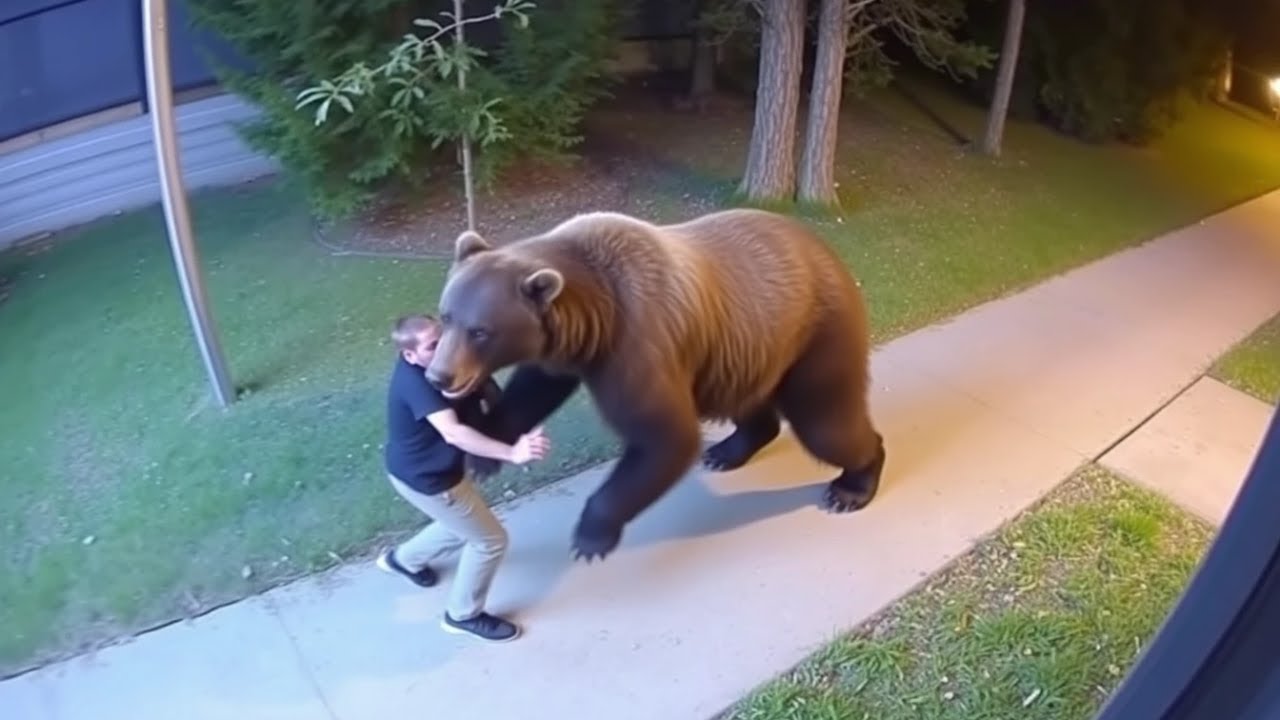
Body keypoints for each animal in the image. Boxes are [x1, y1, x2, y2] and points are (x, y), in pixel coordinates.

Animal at [425, 208, 886, 562]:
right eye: (446, 315)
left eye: (481, 331)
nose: (440, 374)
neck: (594, 319)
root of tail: (829, 252)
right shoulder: (566, 352)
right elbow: (533, 389)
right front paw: (482, 454)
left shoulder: (637, 344)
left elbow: (664, 438)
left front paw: (590, 536)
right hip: (749, 350)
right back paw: (726, 452)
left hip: (817, 335)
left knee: (826, 423)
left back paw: (851, 486)